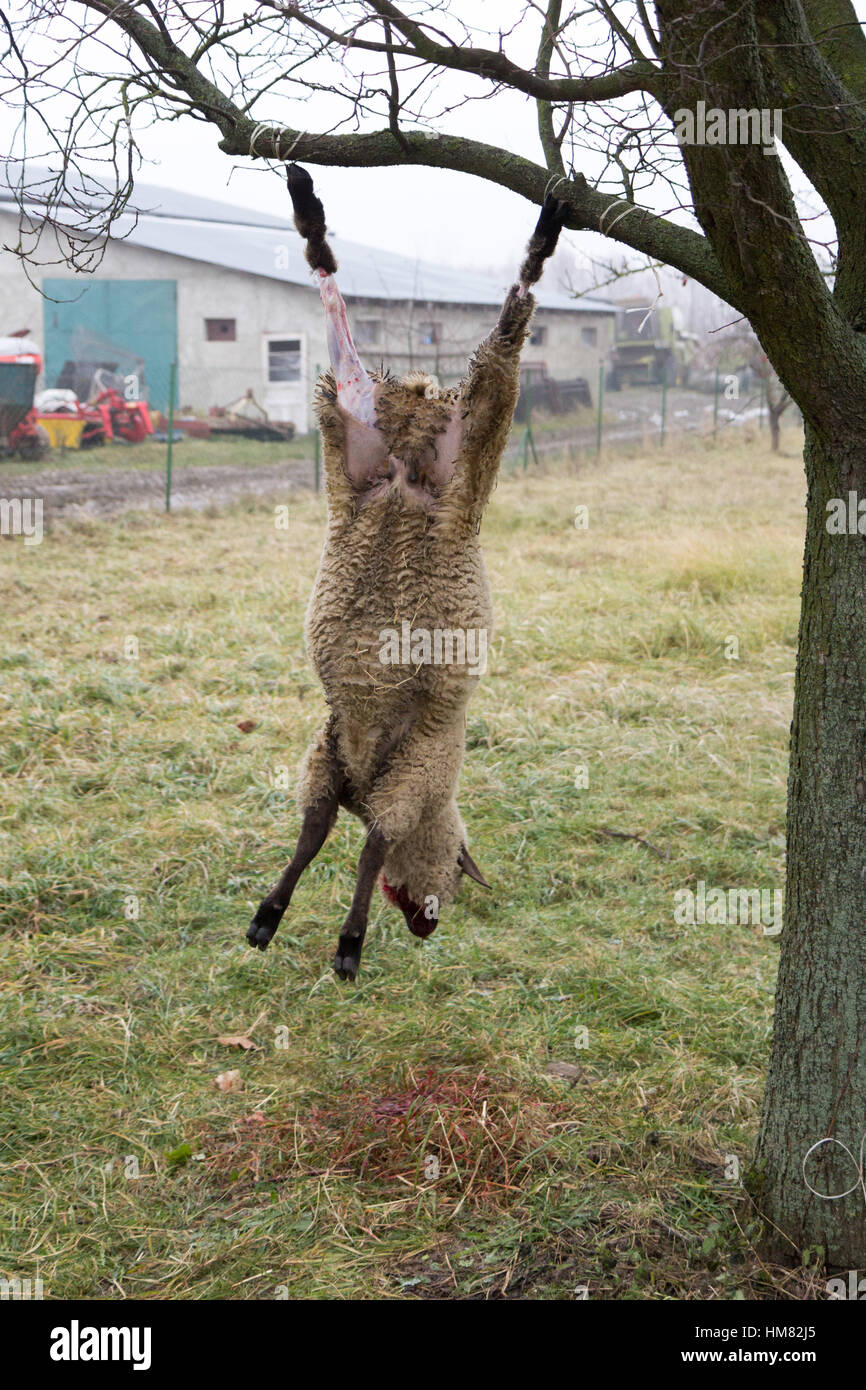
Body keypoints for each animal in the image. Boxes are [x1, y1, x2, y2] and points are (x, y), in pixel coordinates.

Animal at [247, 164, 566, 979]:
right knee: (509, 330)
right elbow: (354, 847)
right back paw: (545, 232)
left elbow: (326, 838)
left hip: (351, 427)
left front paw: (279, 917)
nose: (428, 925)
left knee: (334, 302)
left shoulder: (341, 761)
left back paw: (307, 207)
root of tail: (415, 429)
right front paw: (345, 940)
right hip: (477, 434)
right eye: (455, 872)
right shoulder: (389, 768)